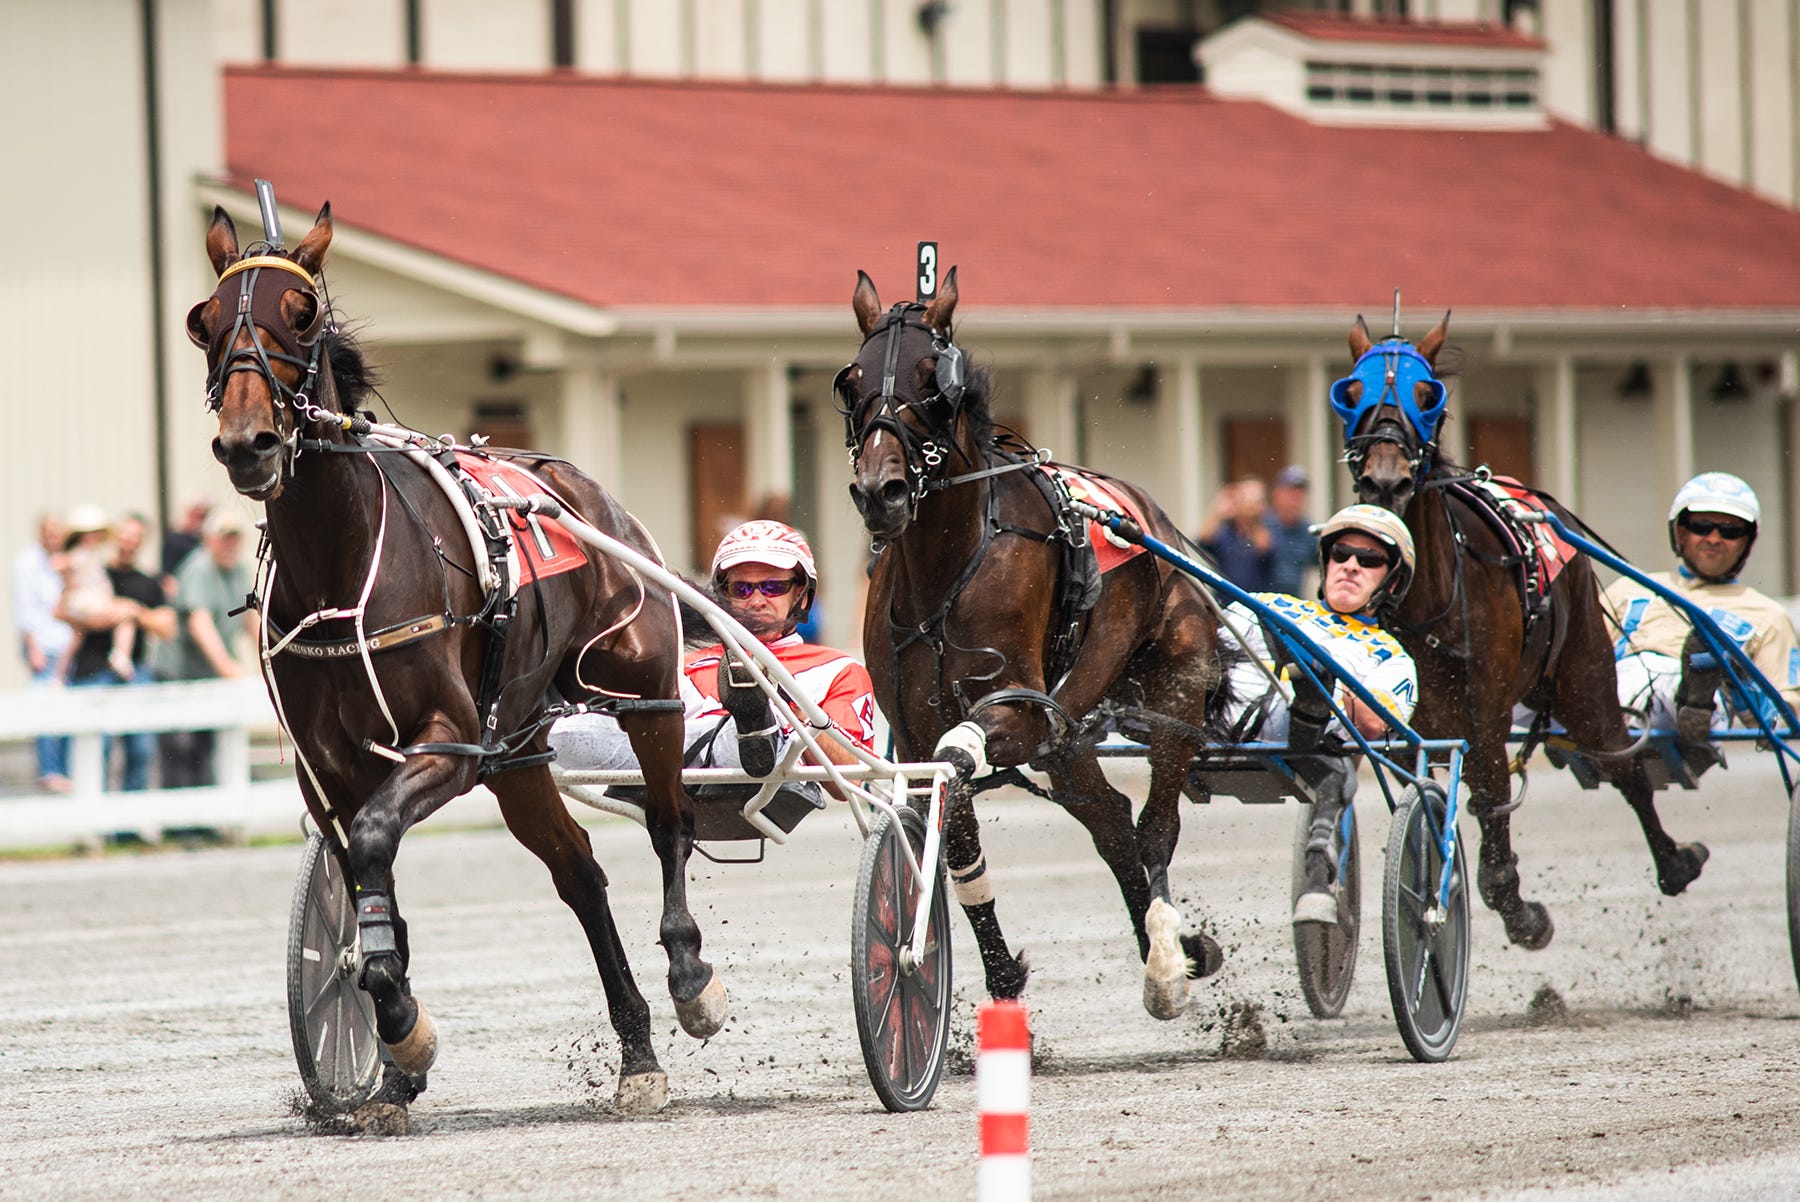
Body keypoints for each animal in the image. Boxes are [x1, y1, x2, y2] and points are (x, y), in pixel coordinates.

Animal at [187, 202, 725, 1119]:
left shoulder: (447, 740)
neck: (339, 566)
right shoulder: (327, 772)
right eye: (205, 321)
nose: (247, 443)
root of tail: (586, 491)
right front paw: (390, 1050)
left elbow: (375, 840)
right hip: (518, 750)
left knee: (668, 823)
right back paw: (637, 1053)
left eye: (302, 314)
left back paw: (689, 979)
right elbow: (364, 879)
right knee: (579, 872)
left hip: (643, 690)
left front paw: (403, 1025)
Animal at [837, 268, 1225, 1018]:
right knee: (1110, 819)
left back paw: (1166, 960)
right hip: (1067, 732)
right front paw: (997, 978)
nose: (880, 491)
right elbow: (957, 838)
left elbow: (961, 758)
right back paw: (1173, 944)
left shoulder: (1017, 711)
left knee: (1155, 823)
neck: (946, 569)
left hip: (1173, 684)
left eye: (933, 379)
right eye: (853, 378)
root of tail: (1158, 524)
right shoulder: (923, 727)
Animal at [1332, 313, 1708, 948]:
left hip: (1583, 674)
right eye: (1352, 392)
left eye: (1427, 395)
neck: (1429, 596)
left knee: (1622, 763)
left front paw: (1513, 903)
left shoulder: (1482, 705)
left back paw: (1675, 860)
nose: (1386, 481)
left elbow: (1490, 793)